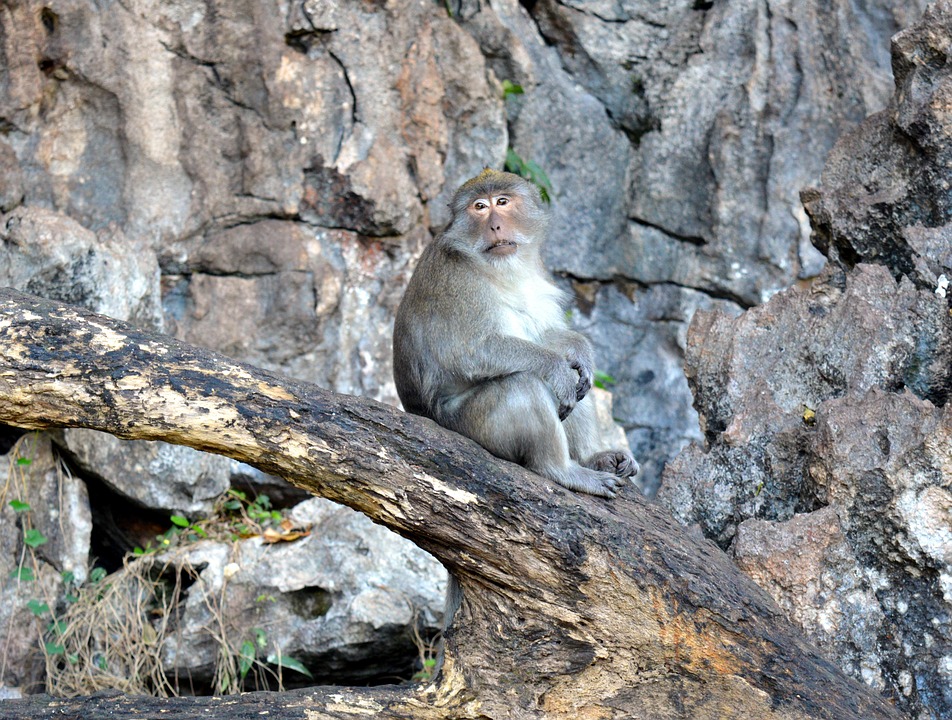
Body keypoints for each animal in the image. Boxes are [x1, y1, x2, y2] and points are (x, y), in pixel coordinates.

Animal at [393, 169, 637, 498]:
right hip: (470, 425)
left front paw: (579, 350)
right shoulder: (458, 282)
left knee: (575, 386)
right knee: (523, 384)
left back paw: (594, 457)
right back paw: (563, 470)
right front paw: (556, 367)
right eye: (480, 207)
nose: (495, 225)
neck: (497, 267)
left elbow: (543, 334)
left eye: (502, 202)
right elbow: (469, 352)